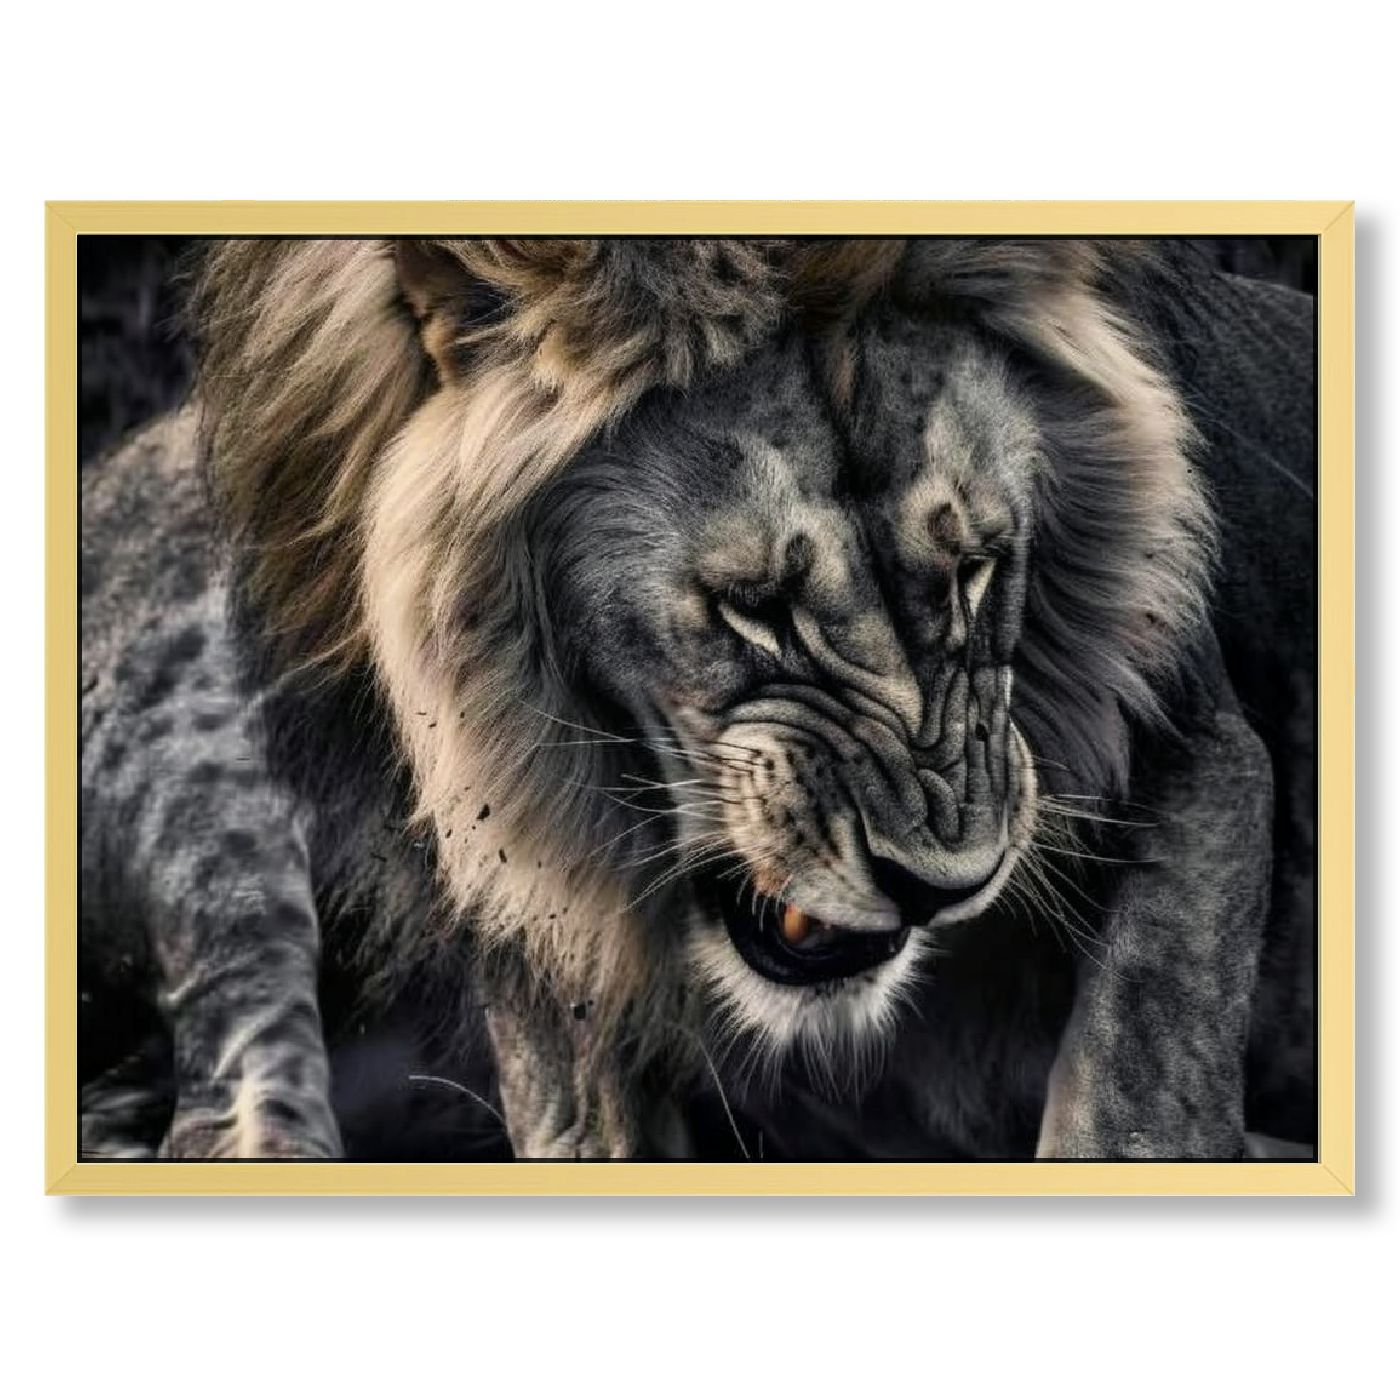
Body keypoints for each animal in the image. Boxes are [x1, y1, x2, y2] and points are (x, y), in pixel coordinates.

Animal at [79, 237, 1316, 1161]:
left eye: (975, 567)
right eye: (752, 606)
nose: (945, 885)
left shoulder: (1190, 752)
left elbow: (1135, 1074)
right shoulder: (525, 885)